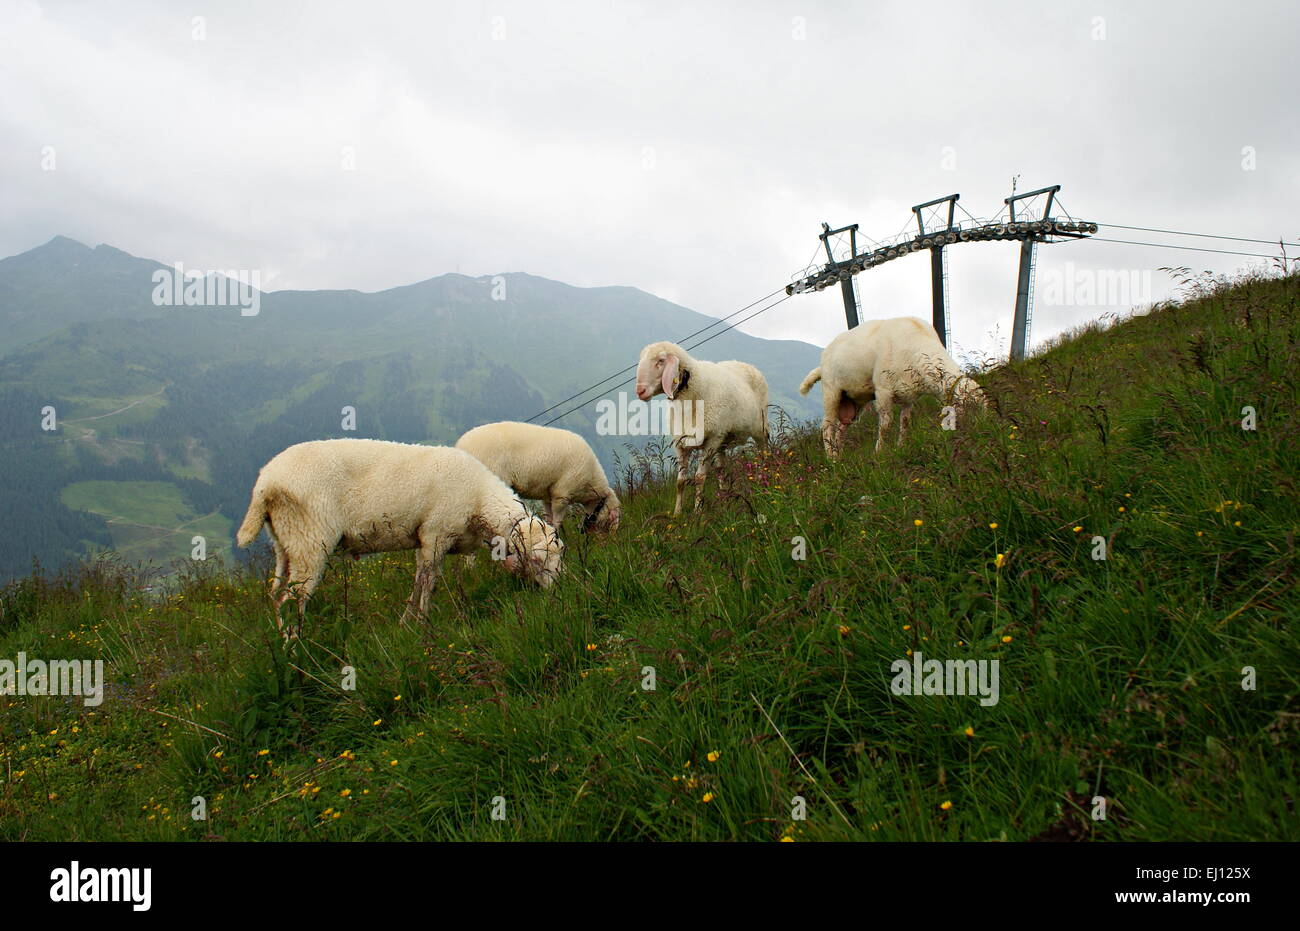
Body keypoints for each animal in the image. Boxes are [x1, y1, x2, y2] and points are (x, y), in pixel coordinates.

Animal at [235, 438, 564, 632]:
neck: (481, 501)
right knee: (292, 599)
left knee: (277, 596)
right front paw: (423, 623)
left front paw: (407, 621)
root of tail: (264, 484)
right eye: (537, 559)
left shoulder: (424, 539)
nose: (554, 595)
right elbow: (429, 584)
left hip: (286, 543)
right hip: (310, 540)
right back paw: (297, 653)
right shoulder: (436, 535)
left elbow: (417, 581)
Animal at [455, 421, 621, 533]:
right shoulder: (562, 495)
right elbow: (557, 521)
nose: (604, 545)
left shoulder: (548, 496)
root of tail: (460, 447)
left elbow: (549, 519)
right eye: (610, 520)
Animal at [634, 340, 769, 515]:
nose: (640, 391)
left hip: (759, 427)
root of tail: (749, 365)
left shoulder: (711, 440)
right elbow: (680, 480)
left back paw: (763, 481)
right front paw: (677, 512)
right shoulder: (680, 443)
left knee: (763, 454)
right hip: (722, 439)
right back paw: (725, 498)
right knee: (721, 468)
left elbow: (699, 478)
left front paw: (697, 511)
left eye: (661, 360)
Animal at [799, 316, 985, 459]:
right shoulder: (883, 390)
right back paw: (831, 458)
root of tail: (822, 362)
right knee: (827, 426)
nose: (979, 430)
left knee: (841, 428)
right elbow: (886, 424)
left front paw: (901, 446)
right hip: (832, 392)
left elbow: (905, 422)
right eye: (969, 406)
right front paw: (879, 452)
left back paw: (839, 456)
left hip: (853, 402)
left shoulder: (909, 395)